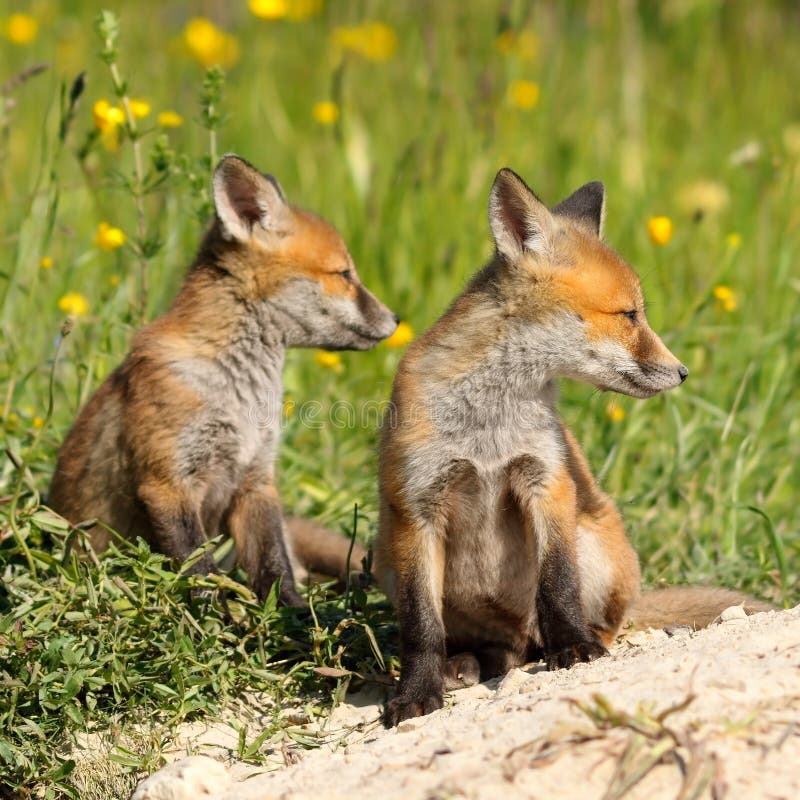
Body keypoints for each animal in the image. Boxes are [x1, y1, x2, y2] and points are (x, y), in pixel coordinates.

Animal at [49, 154, 387, 605]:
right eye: (345, 274)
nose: (396, 319)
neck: (239, 395)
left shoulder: (256, 481)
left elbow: (274, 566)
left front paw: (292, 614)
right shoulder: (168, 484)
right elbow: (202, 573)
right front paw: (217, 616)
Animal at [375, 168, 772, 725]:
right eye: (629, 315)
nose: (683, 372)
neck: (490, 424)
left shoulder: (547, 480)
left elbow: (557, 583)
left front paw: (576, 649)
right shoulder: (417, 507)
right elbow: (420, 626)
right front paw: (415, 692)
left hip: (597, 544)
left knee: (583, 622)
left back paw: (574, 641)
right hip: (386, 558)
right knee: (504, 647)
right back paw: (472, 663)